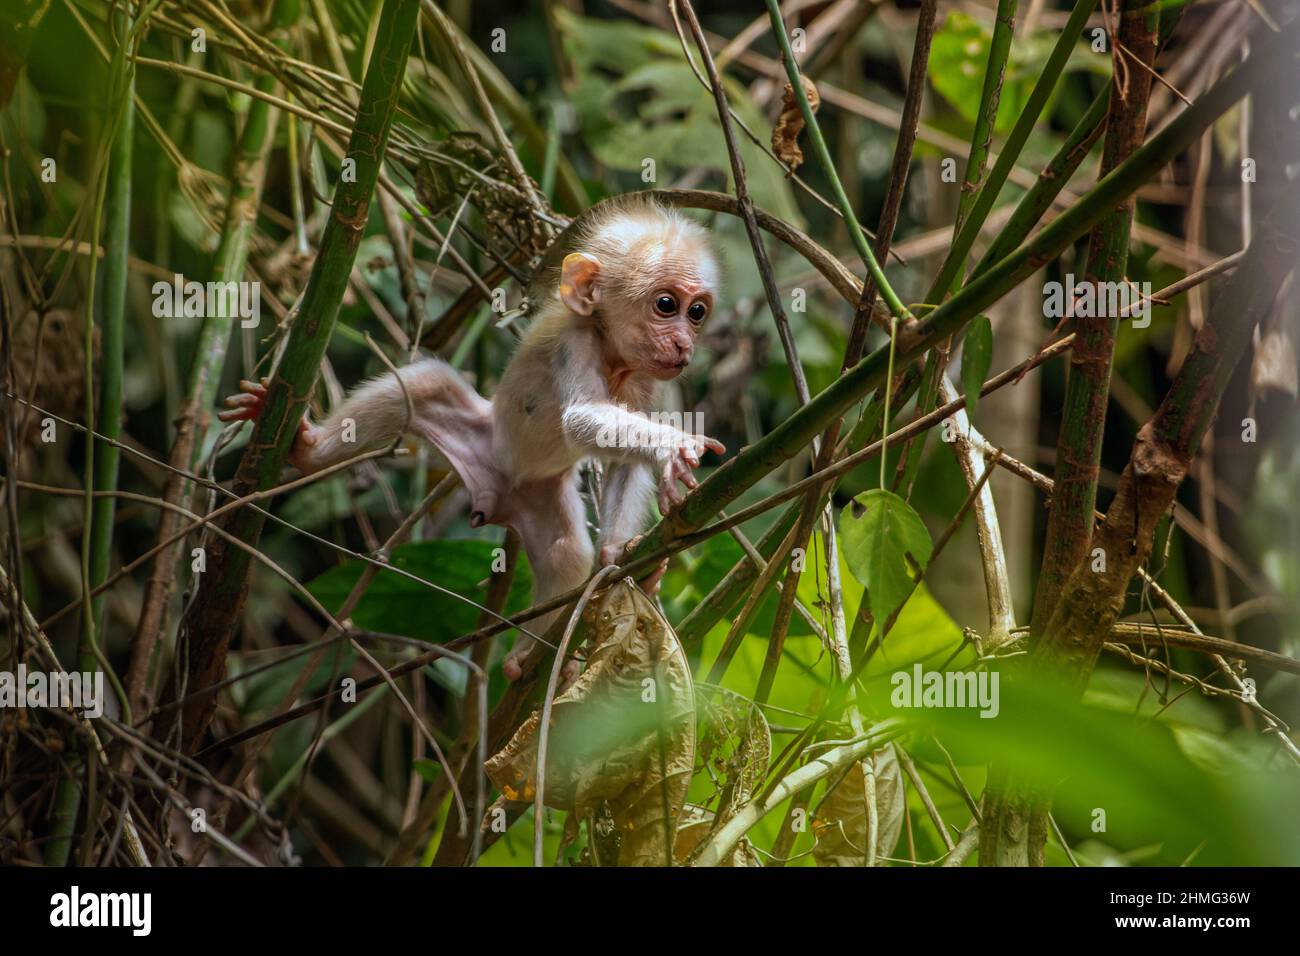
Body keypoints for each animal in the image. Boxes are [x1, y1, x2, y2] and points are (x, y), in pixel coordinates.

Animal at [220, 197, 725, 680]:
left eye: (696, 312)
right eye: (666, 305)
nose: (684, 344)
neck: (613, 356)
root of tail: (497, 491)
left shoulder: (647, 379)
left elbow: (622, 463)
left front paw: (616, 553)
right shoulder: (575, 341)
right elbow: (580, 418)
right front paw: (671, 447)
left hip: (541, 495)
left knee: (565, 551)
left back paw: (535, 660)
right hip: (478, 438)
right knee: (428, 383)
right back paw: (308, 452)